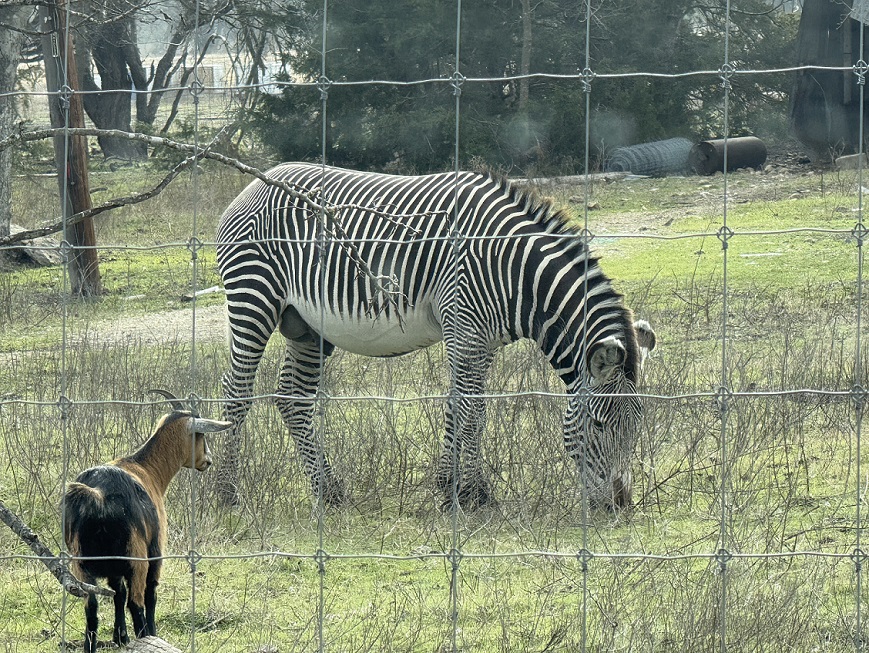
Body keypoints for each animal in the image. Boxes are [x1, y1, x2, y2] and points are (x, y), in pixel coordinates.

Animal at [62, 390, 230, 653]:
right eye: (200, 435)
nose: (208, 460)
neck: (145, 468)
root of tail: (98, 494)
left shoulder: (114, 569)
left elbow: (117, 593)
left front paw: (120, 637)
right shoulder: (156, 551)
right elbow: (151, 594)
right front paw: (149, 634)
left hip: (81, 563)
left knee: (92, 607)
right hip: (136, 557)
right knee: (136, 602)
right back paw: (146, 637)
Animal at [215, 162, 656, 511]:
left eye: (637, 426)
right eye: (598, 425)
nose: (619, 504)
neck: (515, 271)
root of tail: (258, 182)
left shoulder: (481, 340)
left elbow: (467, 410)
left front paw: (463, 490)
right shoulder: (465, 331)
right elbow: (469, 410)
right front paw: (465, 493)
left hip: (306, 326)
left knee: (293, 398)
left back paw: (329, 491)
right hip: (253, 297)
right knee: (236, 392)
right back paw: (226, 493)